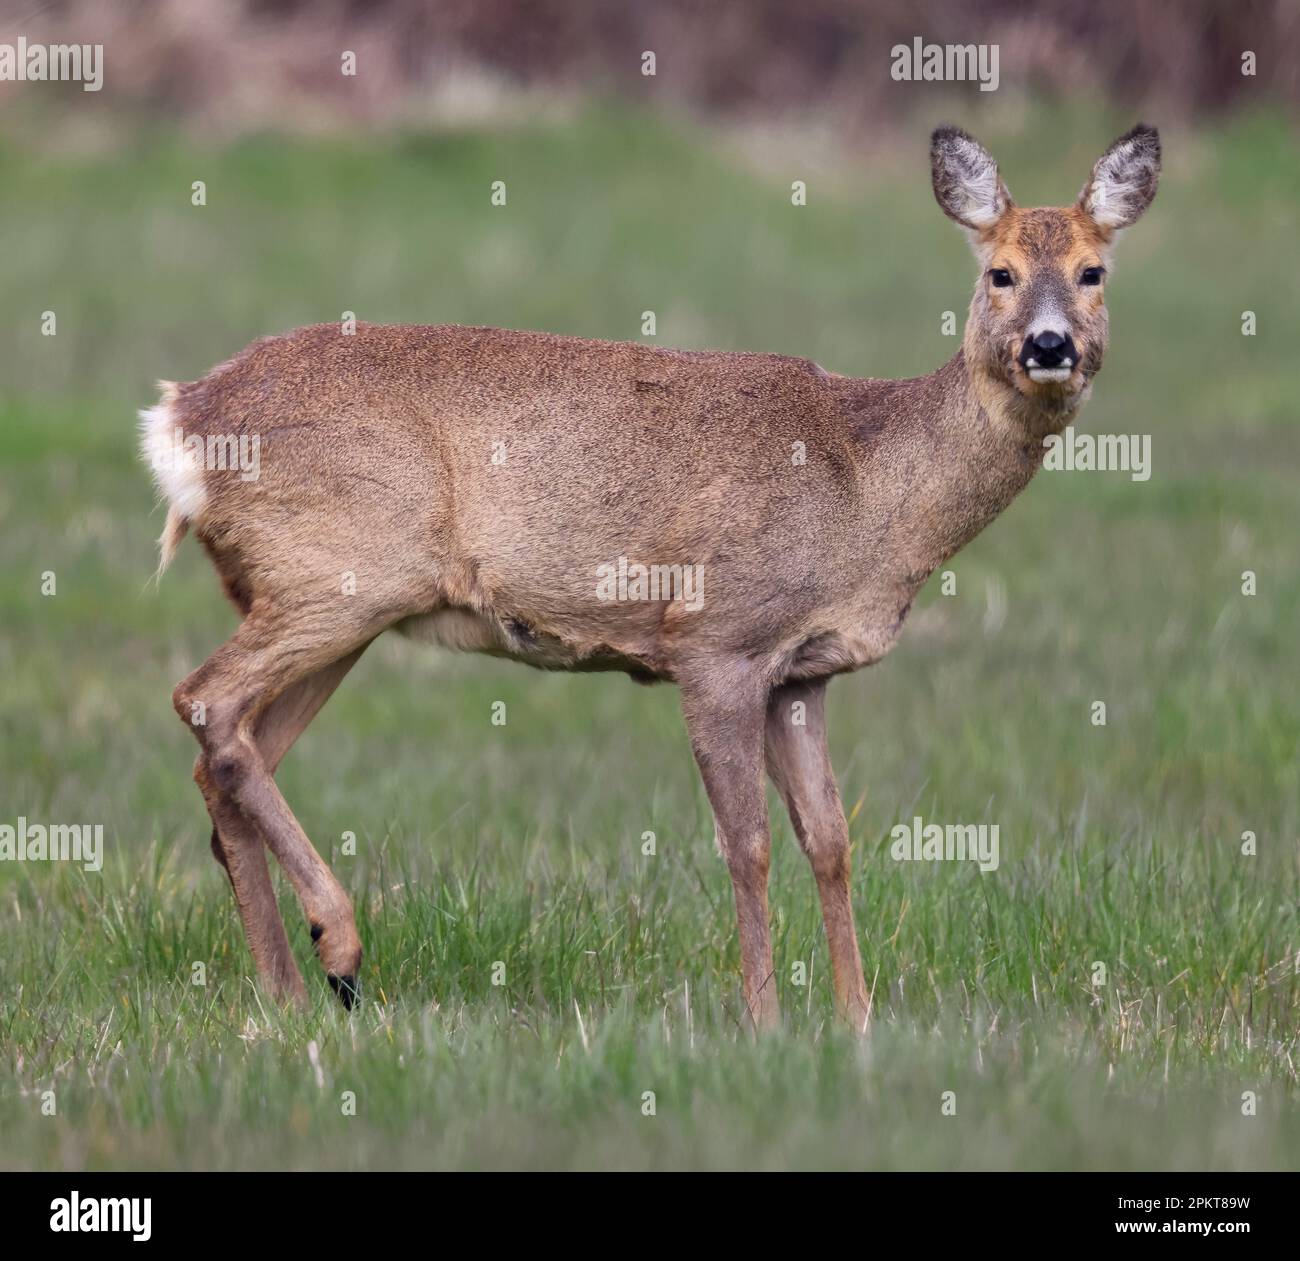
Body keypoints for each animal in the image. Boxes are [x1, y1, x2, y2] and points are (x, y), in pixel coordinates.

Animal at [141, 124, 1159, 1030]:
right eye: (1000, 273)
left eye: (1093, 272)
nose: (1050, 347)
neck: (868, 482)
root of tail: (182, 421)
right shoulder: (715, 641)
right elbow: (748, 844)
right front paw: (763, 1020)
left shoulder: (802, 672)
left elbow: (830, 839)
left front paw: (859, 1021)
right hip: (338, 573)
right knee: (204, 701)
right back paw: (341, 946)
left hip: (323, 600)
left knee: (226, 754)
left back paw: (289, 992)